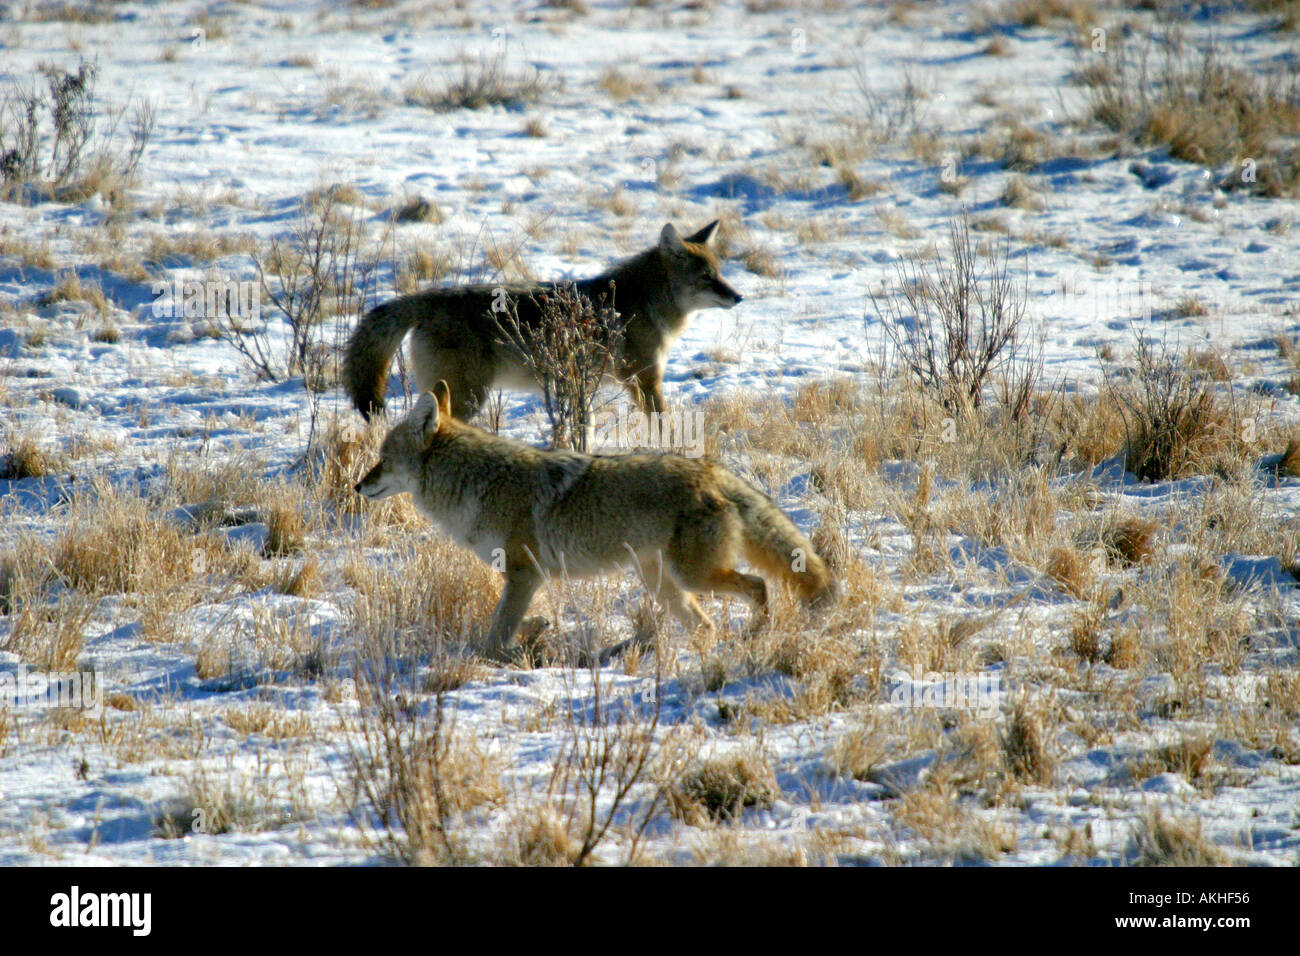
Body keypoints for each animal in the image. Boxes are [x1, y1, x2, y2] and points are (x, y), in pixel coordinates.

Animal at [342, 221, 742, 422]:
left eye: (720, 273)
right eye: (707, 277)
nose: (739, 297)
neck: (644, 302)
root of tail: (426, 299)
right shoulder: (644, 380)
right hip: (468, 398)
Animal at [355, 381, 834, 659]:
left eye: (382, 459)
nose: (358, 485)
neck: (478, 481)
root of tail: (712, 470)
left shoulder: (524, 575)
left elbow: (492, 640)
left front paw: (520, 645)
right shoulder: (523, 581)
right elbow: (503, 630)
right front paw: (536, 631)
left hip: (692, 575)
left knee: (759, 586)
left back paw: (755, 638)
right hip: (663, 583)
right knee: (708, 624)